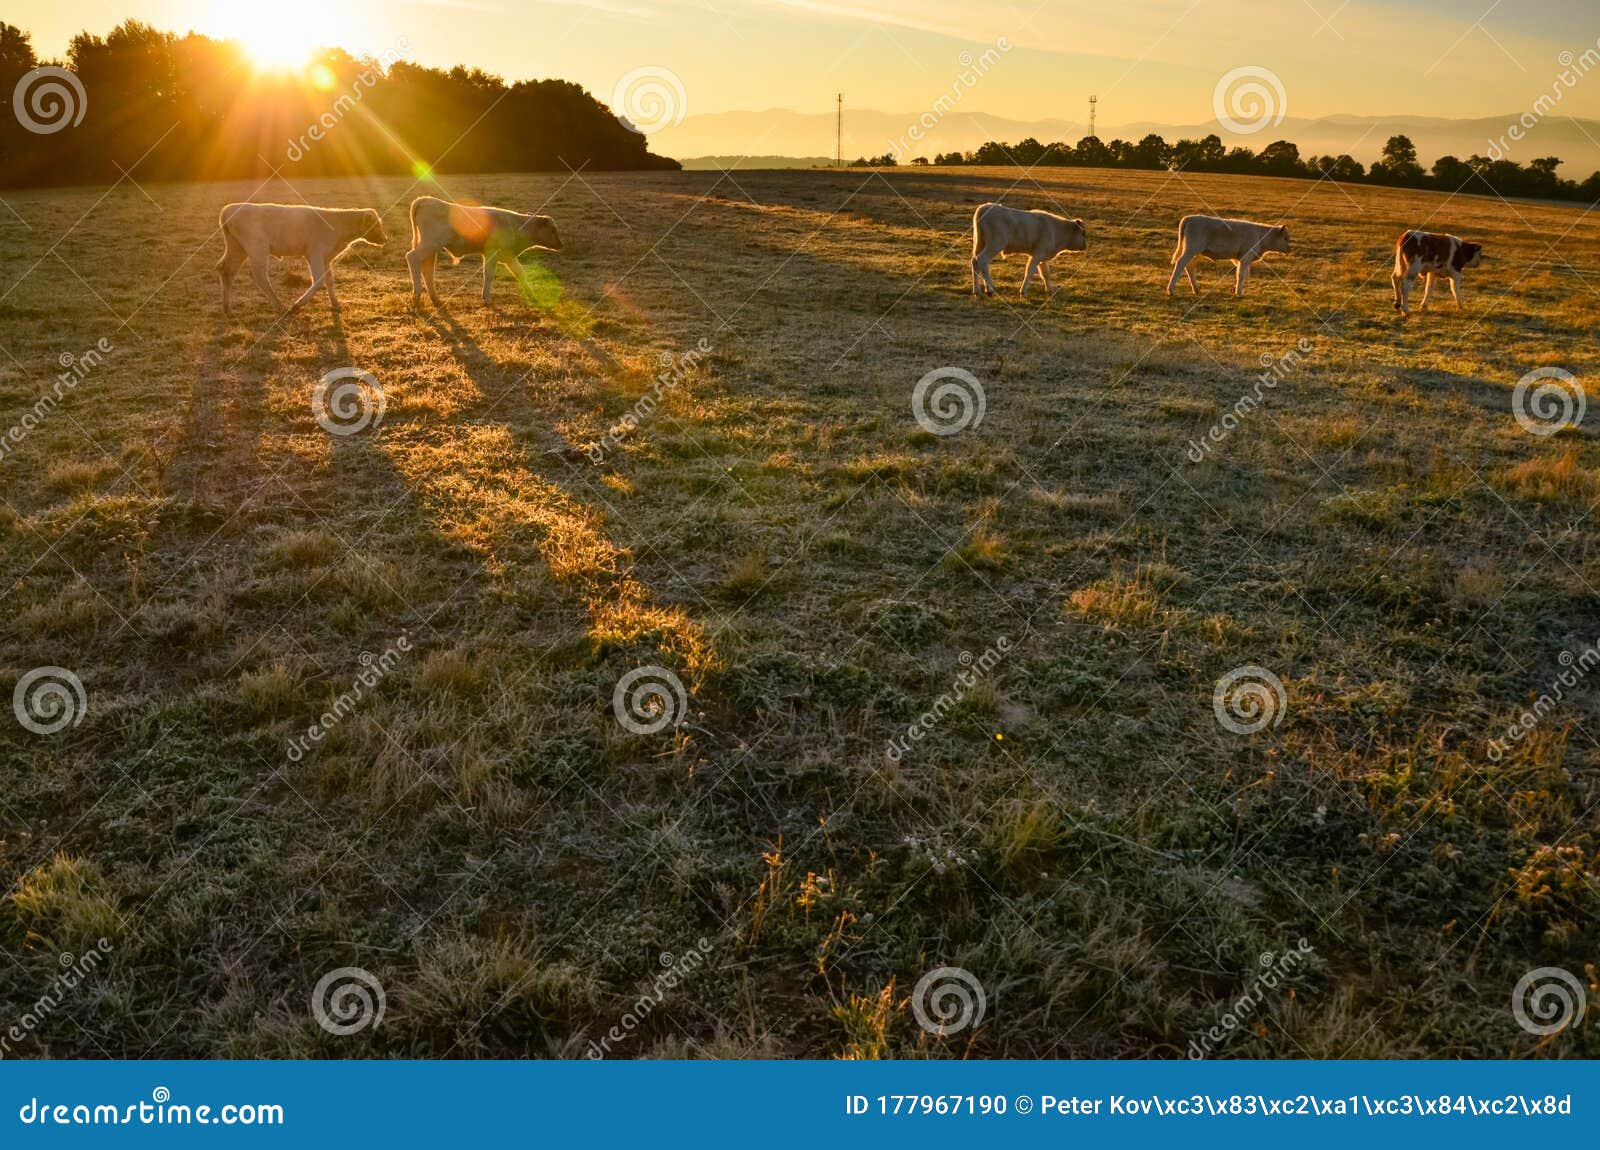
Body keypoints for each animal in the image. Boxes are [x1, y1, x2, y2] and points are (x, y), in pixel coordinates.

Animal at [217, 202, 386, 316]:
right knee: (261, 278)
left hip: (237, 249)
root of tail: (228, 210)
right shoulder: (315, 255)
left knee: (226, 271)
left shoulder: (326, 259)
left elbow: (329, 281)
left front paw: (336, 304)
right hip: (257, 250)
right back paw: (280, 307)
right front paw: (298, 305)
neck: (337, 224)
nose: (385, 239)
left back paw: (227, 309)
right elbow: (318, 281)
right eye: (376, 225)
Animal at [407, 196, 563, 307]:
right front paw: (486, 298)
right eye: (552, 230)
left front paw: (532, 295)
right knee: (412, 258)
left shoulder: (508, 256)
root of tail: (426, 199)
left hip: (431, 249)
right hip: (430, 244)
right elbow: (488, 275)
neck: (516, 225)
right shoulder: (491, 253)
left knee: (428, 270)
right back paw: (417, 294)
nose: (561, 245)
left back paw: (435, 298)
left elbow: (520, 273)